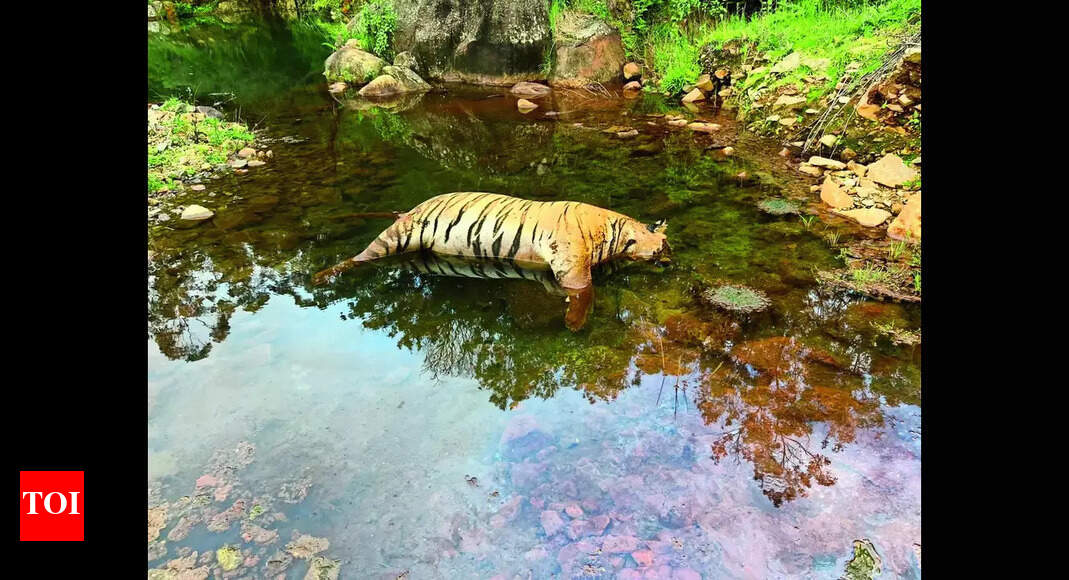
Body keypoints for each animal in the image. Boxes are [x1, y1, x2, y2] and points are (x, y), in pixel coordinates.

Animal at [313, 192, 672, 330]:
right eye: (662, 250)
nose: (673, 264)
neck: (612, 230)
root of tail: (408, 210)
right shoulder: (571, 267)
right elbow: (584, 292)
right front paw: (575, 322)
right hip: (393, 238)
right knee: (358, 256)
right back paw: (322, 276)